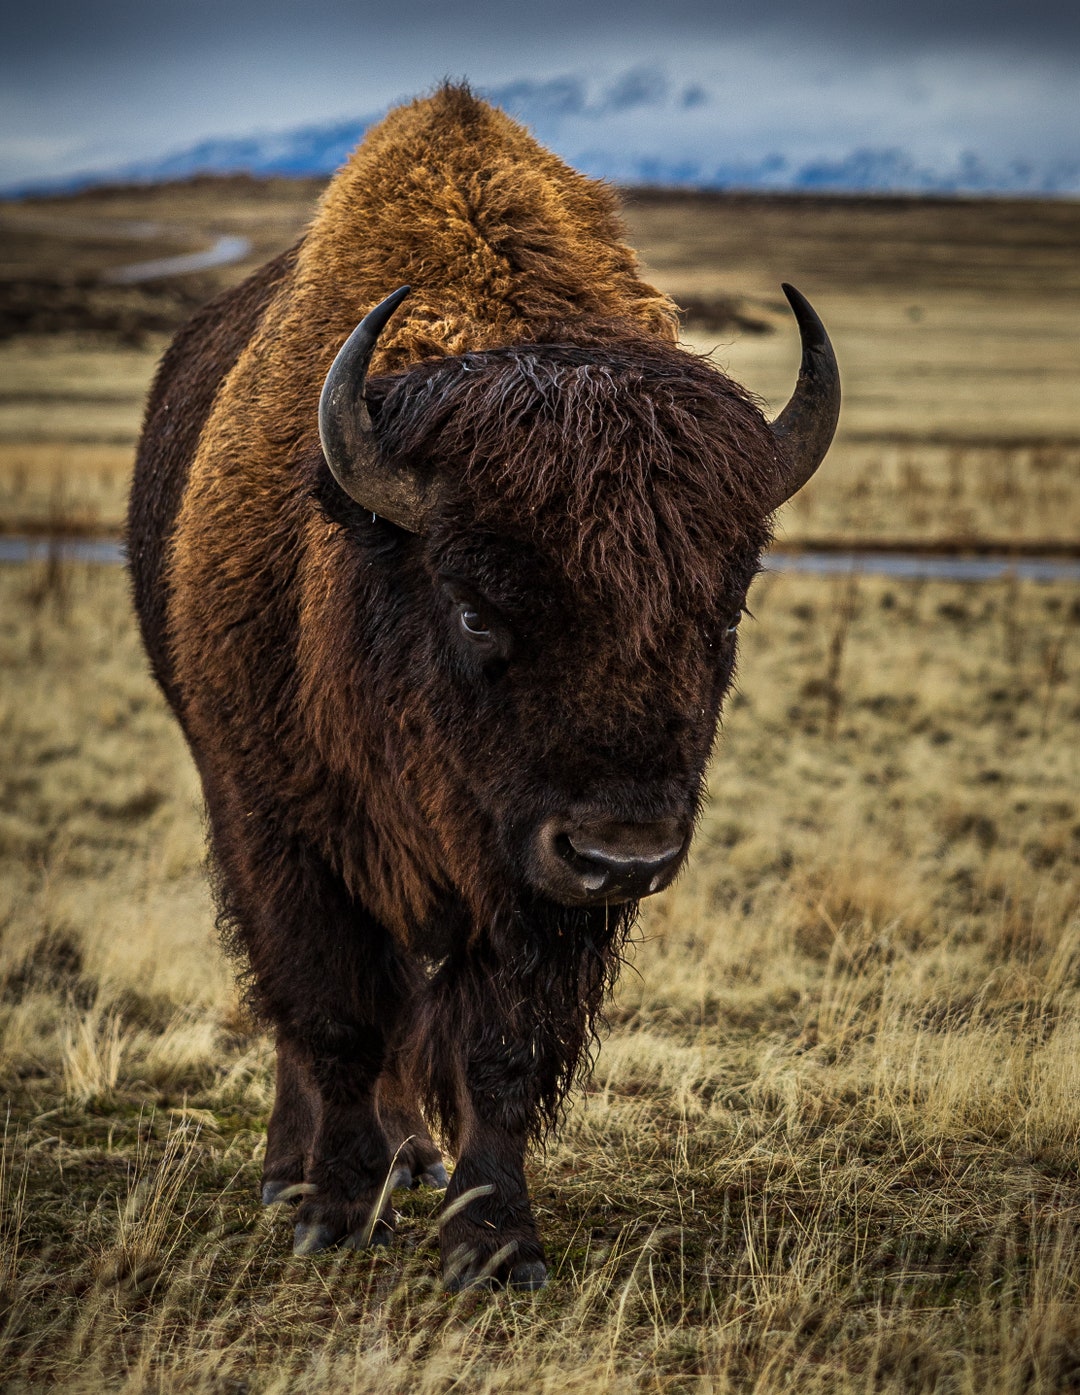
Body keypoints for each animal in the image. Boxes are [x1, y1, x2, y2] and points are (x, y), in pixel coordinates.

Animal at [127, 85, 839, 1289]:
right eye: (475, 609)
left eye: (726, 610)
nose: (623, 856)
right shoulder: (284, 831)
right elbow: (334, 1019)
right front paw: (336, 1207)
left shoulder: (530, 890)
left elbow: (501, 1044)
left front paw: (493, 1242)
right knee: (310, 1019)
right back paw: (293, 1175)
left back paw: (416, 1160)